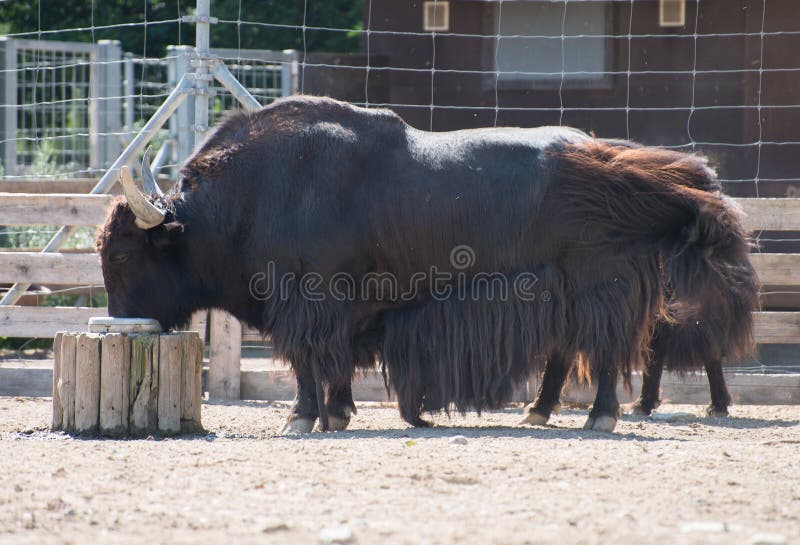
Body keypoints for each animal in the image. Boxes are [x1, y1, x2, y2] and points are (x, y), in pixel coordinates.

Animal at [96, 95, 758, 434]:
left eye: (124, 251)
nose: (120, 323)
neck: (250, 196)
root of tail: (620, 164)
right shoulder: (349, 308)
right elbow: (337, 361)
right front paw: (340, 413)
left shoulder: (306, 301)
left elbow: (308, 361)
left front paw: (303, 418)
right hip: (560, 291)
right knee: (566, 352)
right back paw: (537, 411)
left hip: (596, 285)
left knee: (603, 351)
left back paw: (598, 418)